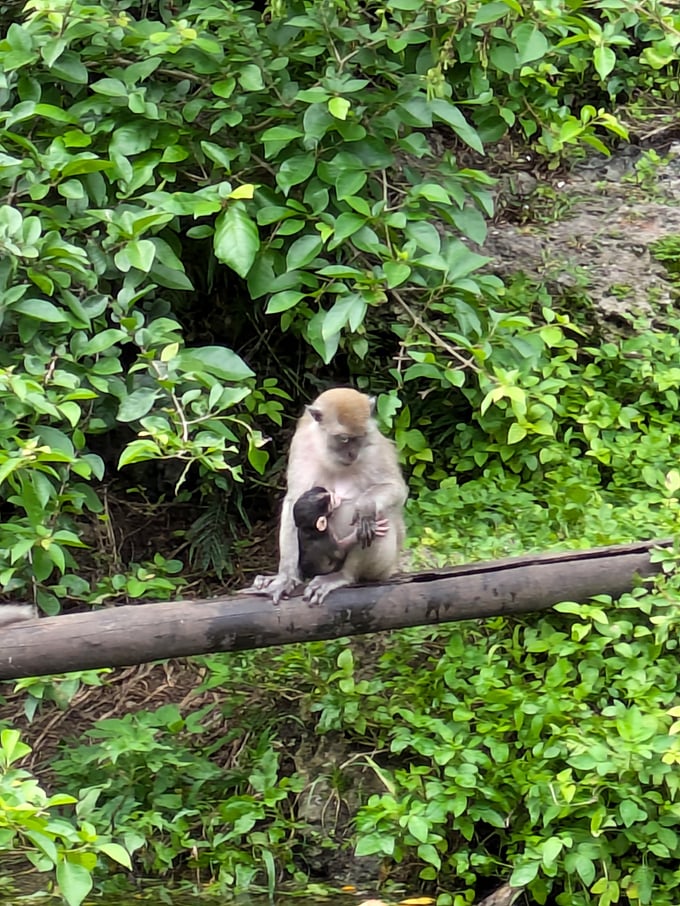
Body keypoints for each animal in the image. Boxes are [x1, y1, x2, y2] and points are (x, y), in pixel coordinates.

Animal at [248, 387, 407, 605]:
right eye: (344, 438)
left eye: (360, 436)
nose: (352, 454)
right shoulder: (301, 445)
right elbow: (294, 502)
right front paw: (285, 578)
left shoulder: (375, 447)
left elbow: (396, 489)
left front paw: (365, 505)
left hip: (383, 566)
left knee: (381, 516)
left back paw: (343, 575)